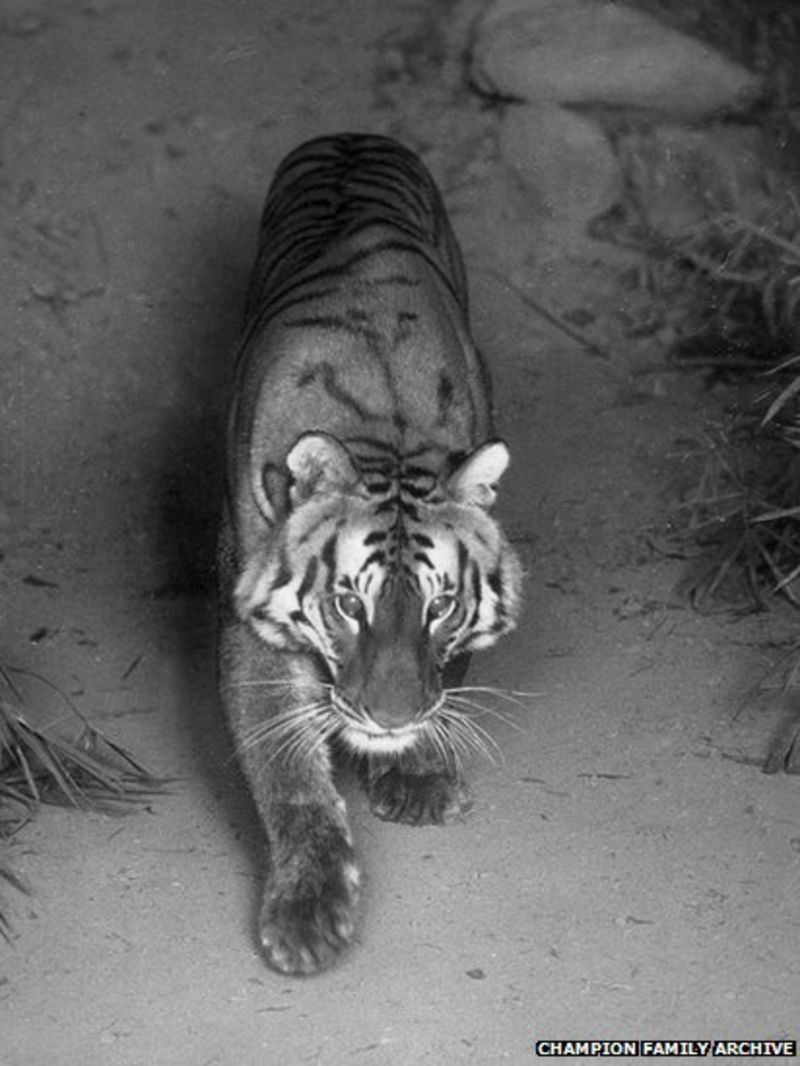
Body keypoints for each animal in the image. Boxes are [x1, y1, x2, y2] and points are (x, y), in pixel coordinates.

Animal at [217, 132, 523, 975]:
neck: (385, 436)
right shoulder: (256, 621)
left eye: (442, 603)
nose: (388, 720)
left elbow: (448, 677)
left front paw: (415, 772)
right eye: (347, 602)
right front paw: (307, 911)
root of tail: (352, 134)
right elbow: (287, 770)